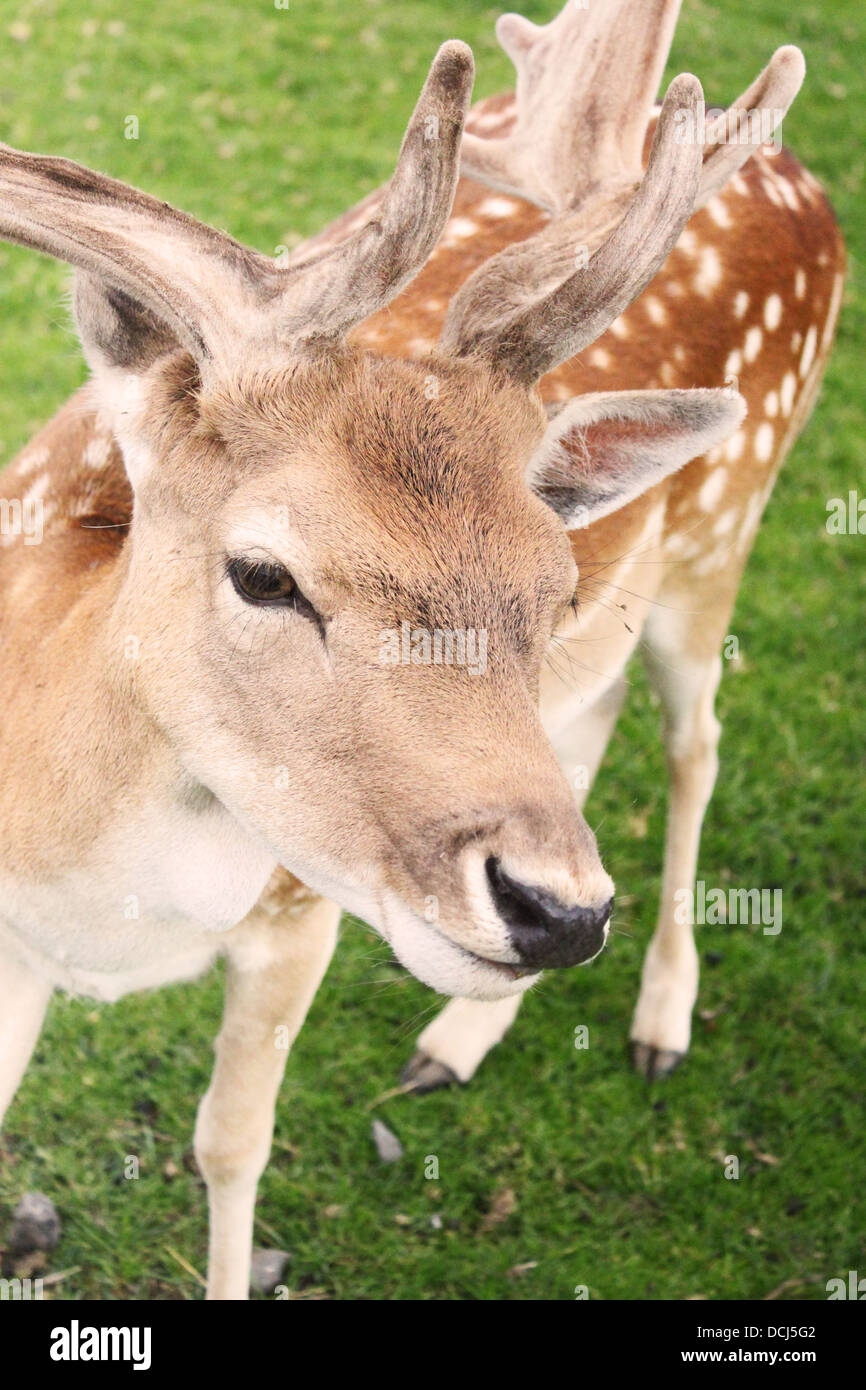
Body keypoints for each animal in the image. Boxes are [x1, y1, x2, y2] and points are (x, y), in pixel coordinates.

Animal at [0, 0, 843, 1300]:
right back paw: (462, 1037)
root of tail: (800, 176)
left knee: (695, 741)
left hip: (722, 539)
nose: (557, 916)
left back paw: (657, 1019)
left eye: (550, 583)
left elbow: (230, 1145)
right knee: (592, 727)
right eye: (264, 574)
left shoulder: (298, 909)